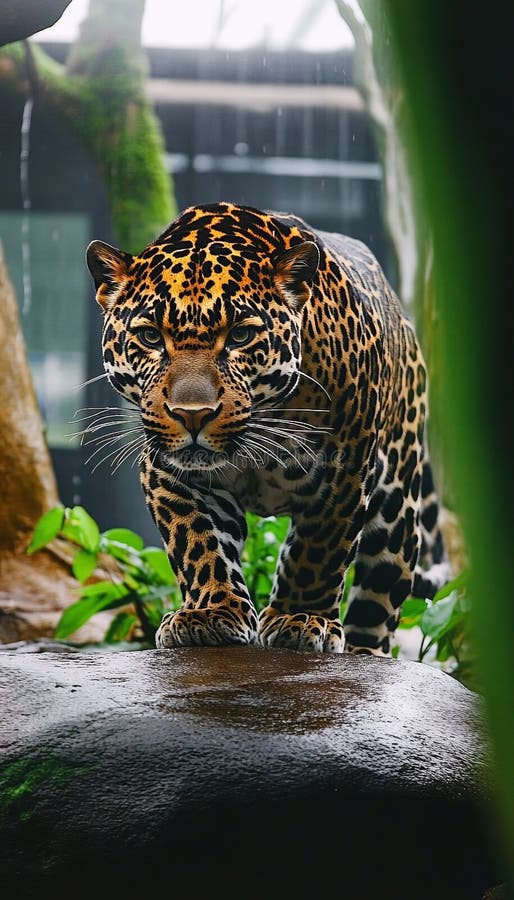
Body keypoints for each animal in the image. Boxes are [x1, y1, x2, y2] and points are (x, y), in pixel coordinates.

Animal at [86, 201, 450, 656]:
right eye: (151, 337)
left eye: (240, 335)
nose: (192, 414)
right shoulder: (168, 470)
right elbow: (197, 539)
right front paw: (210, 612)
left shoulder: (344, 470)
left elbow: (318, 550)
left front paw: (301, 616)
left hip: (396, 513)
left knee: (378, 604)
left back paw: (365, 653)